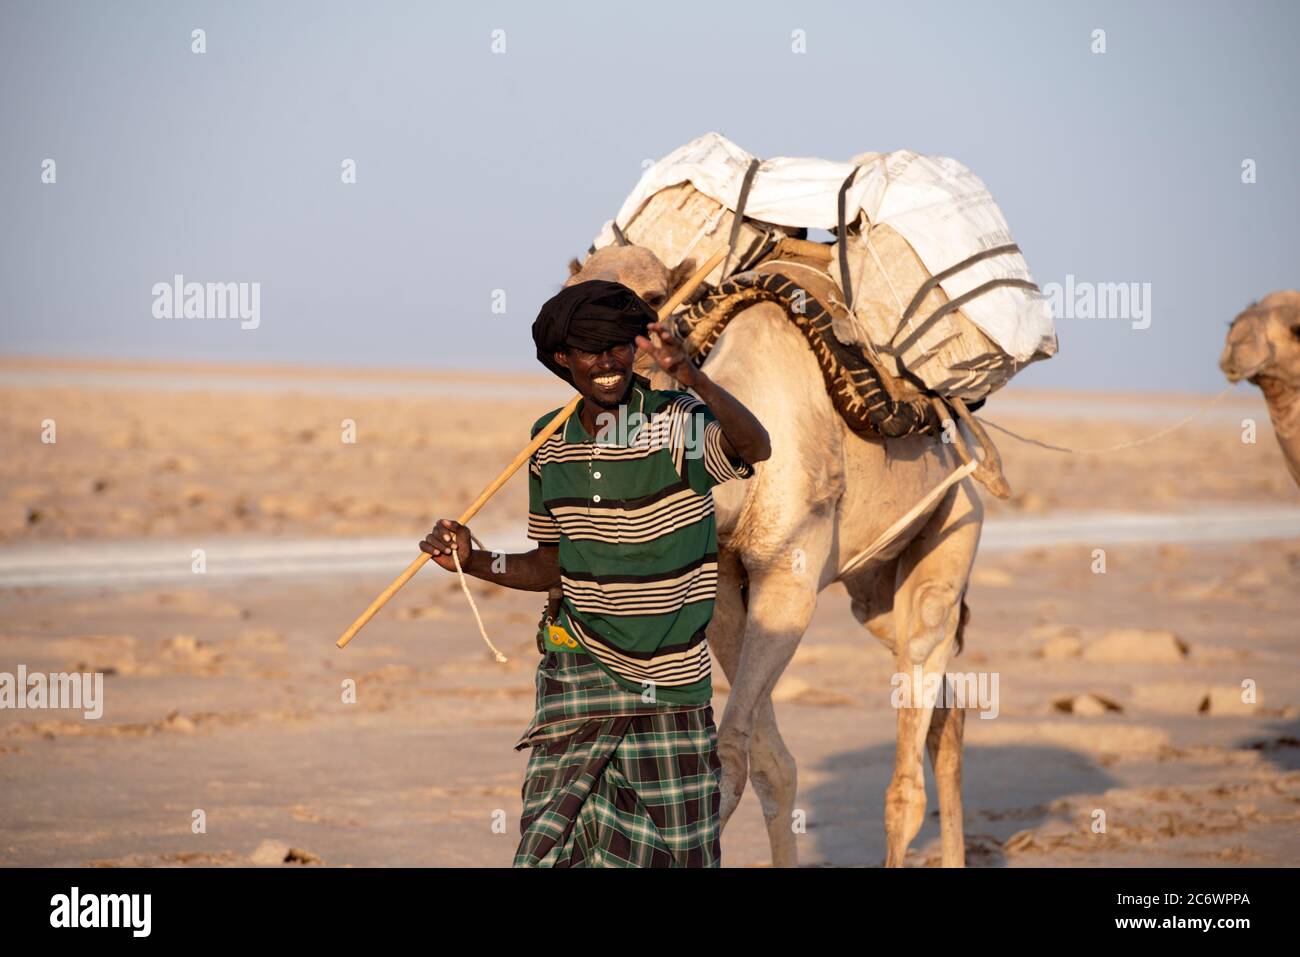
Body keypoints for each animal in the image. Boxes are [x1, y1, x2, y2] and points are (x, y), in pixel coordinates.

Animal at [562, 245, 982, 867]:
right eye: (566, 295)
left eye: (651, 298)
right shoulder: (724, 587)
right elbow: (770, 766)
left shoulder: (788, 576)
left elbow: (731, 758)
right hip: (875, 587)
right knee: (944, 709)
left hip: (957, 521)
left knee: (911, 749)